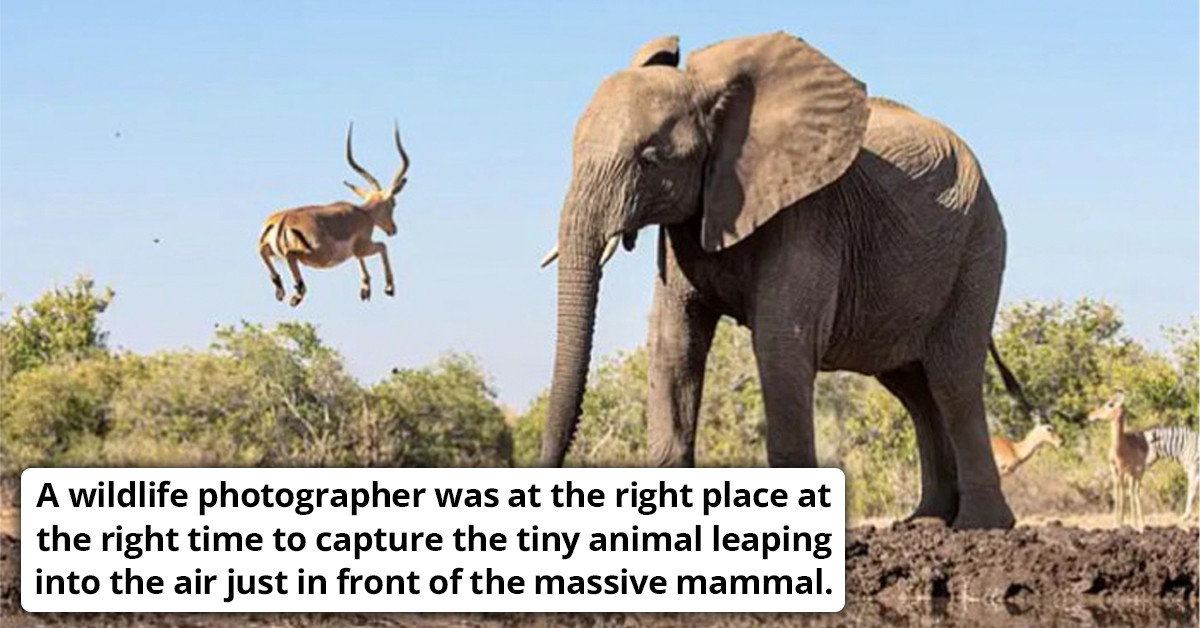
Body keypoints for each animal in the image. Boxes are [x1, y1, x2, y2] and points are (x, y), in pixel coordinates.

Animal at [258, 122, 410, 306]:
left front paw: (365, 290)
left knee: (263, 252)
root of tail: (283, 220)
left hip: (275, 250)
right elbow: (383, 246)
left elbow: (361, 259)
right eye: (393, 203)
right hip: (317, 255)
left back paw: (281, 291)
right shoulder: (363, 245)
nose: (392, 229)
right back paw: (297, 295)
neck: (364, 213)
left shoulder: (358, 250)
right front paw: (388, 288)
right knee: (290, 254)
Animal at [538, 32, 1018, 529]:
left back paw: (980, 525)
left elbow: (781, 345)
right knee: (914, 390)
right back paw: (927, 521)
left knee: (952, 381)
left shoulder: (807, 214)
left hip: (978, 247)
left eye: (652, 159)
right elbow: (674, 345)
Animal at [1088, 393, 1149, 529]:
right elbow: (1117, 492)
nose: (1091, 415)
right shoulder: (1114, 469)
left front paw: (1127, 524)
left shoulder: (1127, 469)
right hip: (1129, 475)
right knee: (1129, 491)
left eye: (1110, 404)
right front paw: (1116, 524)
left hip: (1138, 473)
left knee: (1134, 492)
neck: (1120, 449)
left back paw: (1140, 524)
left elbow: (1124, 493)